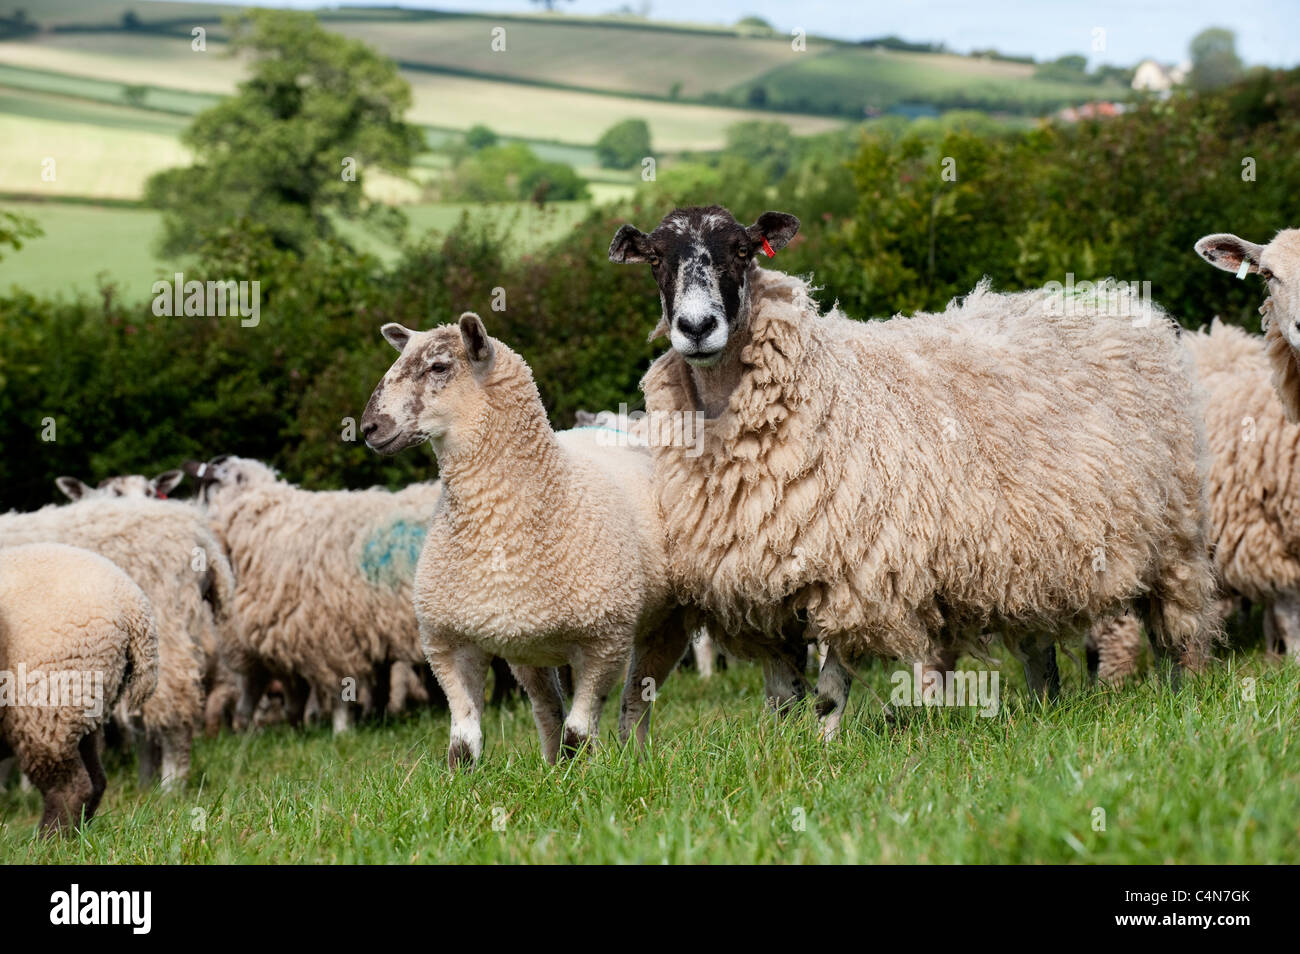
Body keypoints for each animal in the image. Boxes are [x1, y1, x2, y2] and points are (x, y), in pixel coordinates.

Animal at [0, 543, 158, 834]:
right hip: (84, 706)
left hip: (46, 705)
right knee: (96, 780)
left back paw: (48, 841)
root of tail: (133, 605)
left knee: (70, 787)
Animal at [182, 454, 445, 734]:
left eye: (228, 473)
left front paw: (341, 730)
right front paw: (262, 730)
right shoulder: (274, 640)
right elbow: (269, 695)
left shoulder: (328, 632)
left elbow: (337, 689)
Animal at [361, 313, 690, 766]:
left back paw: (634, 759)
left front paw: (580, 776)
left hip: (667, 623)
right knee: (547, 709)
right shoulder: (449, 642)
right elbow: (463, 744)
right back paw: (552, 765)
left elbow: (579, 733)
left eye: (439, 366)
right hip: (527, 648)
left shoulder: (603, 641)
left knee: (634, 702)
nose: (368, 427)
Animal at [611, 205, 1218, 736]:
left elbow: (829, 692)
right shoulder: (761, 590)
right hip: (1030, 553)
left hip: (1174, 535)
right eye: (656, 259)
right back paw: (1046, 707)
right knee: (1038, 646)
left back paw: (1186, 696)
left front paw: (823, 751)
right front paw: (783, 751)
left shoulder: (856, 575)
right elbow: (783, 697)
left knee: (1180, 629)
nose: (696, 326)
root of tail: (1122, 303)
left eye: (741, 250)